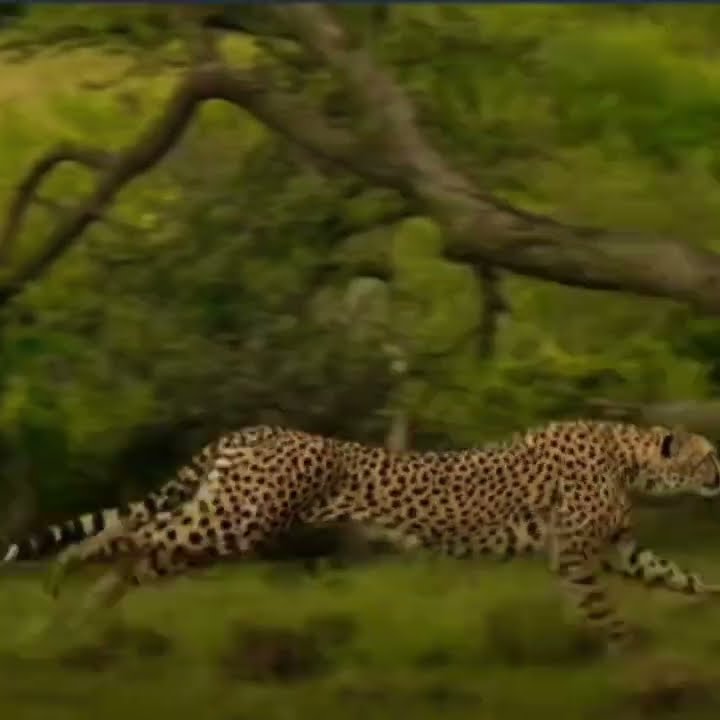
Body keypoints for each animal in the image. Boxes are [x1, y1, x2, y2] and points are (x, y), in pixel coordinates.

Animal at [5, 419, 720, 652]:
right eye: (708, 456)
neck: (630, 455)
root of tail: (257, 428)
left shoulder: (616, 548)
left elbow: (675, 575)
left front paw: (711, 599)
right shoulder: (573, 552)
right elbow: (601, 607)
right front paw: (625, 650)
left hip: (221, 524)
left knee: (140, 549)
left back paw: (79, 611)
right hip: (235, 520)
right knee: (135, 530)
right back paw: (65, 571)